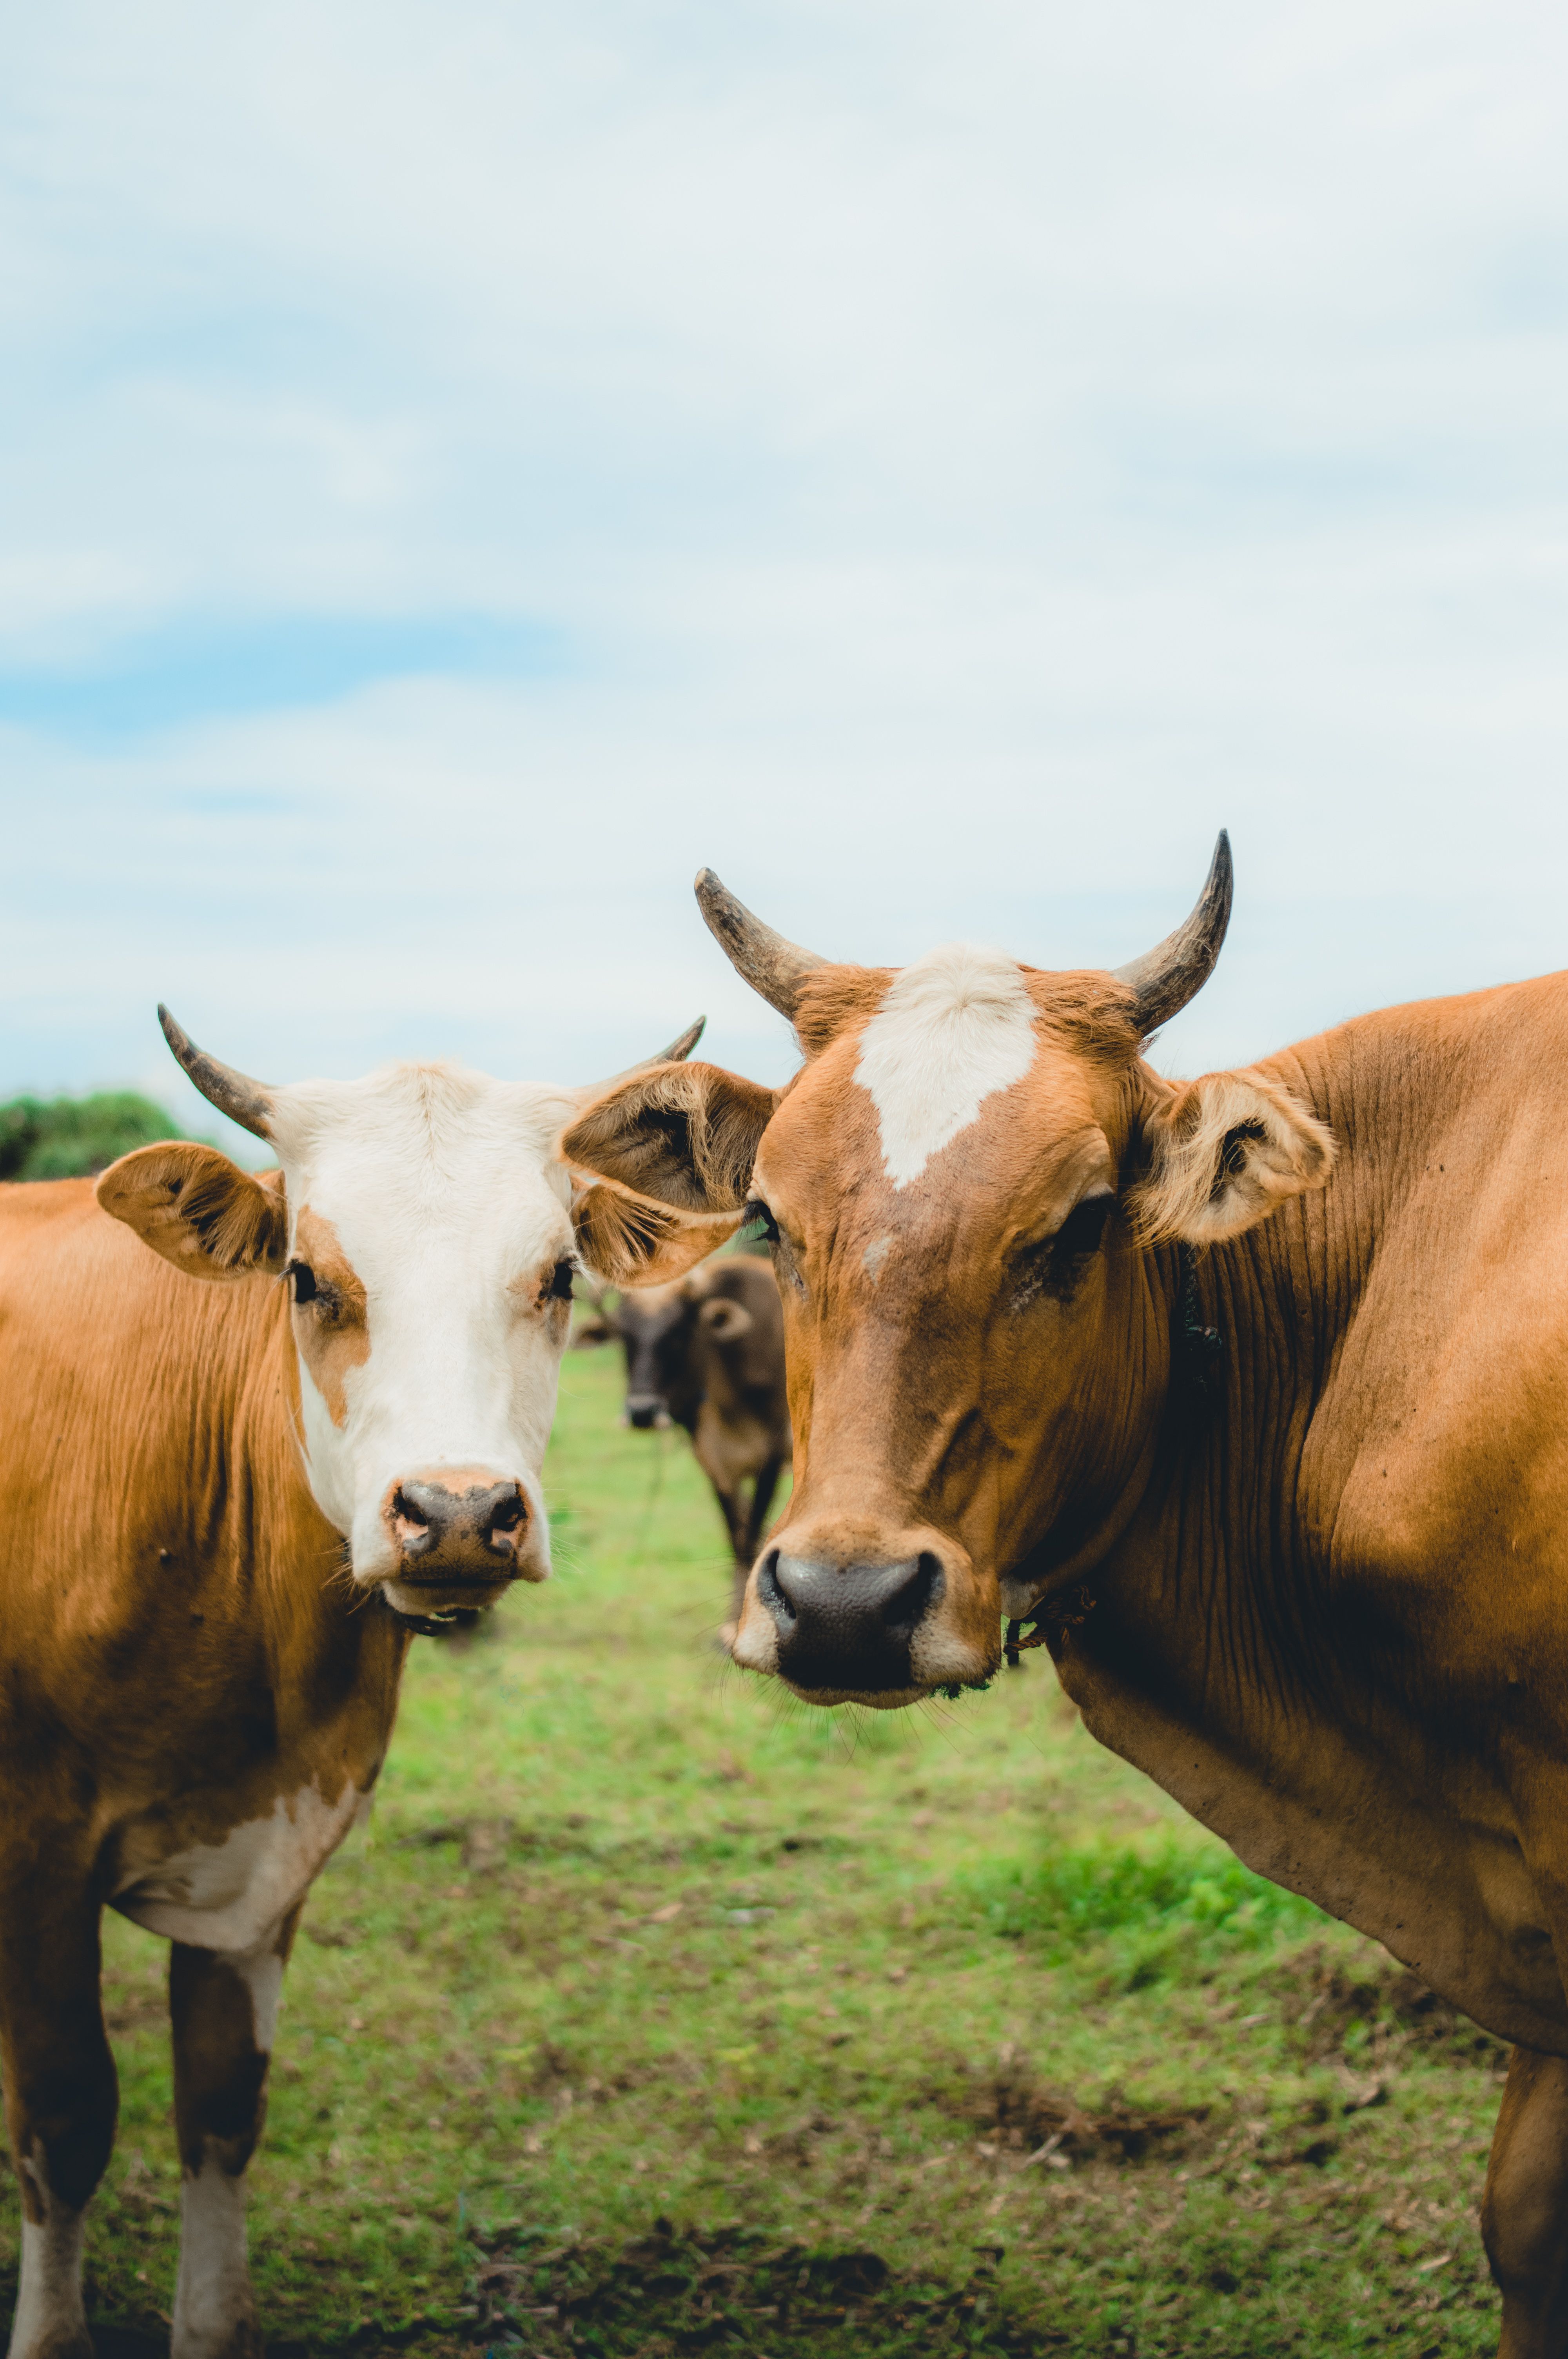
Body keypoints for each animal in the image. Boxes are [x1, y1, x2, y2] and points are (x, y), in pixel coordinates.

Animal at [0, 1004, 700, 2359]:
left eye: (558, 1276)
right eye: (308, 1278)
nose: (460, 1513)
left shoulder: (268, 1862)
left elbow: (220, 2115)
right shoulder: (34, 1862)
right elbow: (64, 2122)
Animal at [577, 1257, 790, 1622]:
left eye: (679, 1333)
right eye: (624, 1337)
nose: (642, 1412)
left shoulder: (772, 1459)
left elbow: (750, 1534)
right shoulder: (712, 1462)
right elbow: (738, 1535)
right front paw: (733, 1620)